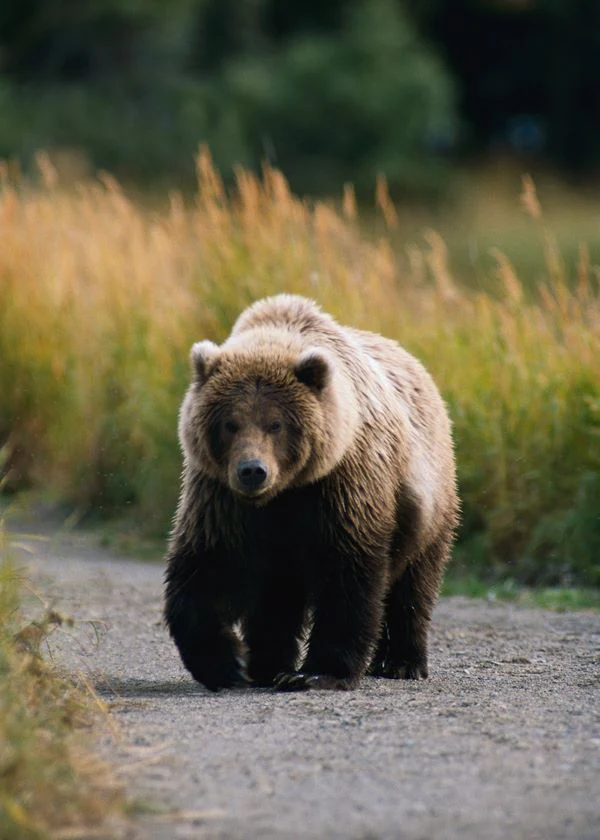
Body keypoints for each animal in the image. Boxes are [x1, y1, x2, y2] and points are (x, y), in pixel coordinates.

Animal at [162, 294, 458, 688]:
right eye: (229, 423)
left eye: (276, 424)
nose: (252, 471)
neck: (285, 492)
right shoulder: (220, 497)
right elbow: (208, 567)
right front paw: (228, 663)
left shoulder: (341, 485)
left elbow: (347, 574)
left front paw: (321, 671)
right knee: (277, 597)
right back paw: (269, 664)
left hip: (427, 499)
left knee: (414, 582)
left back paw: (401, 662)